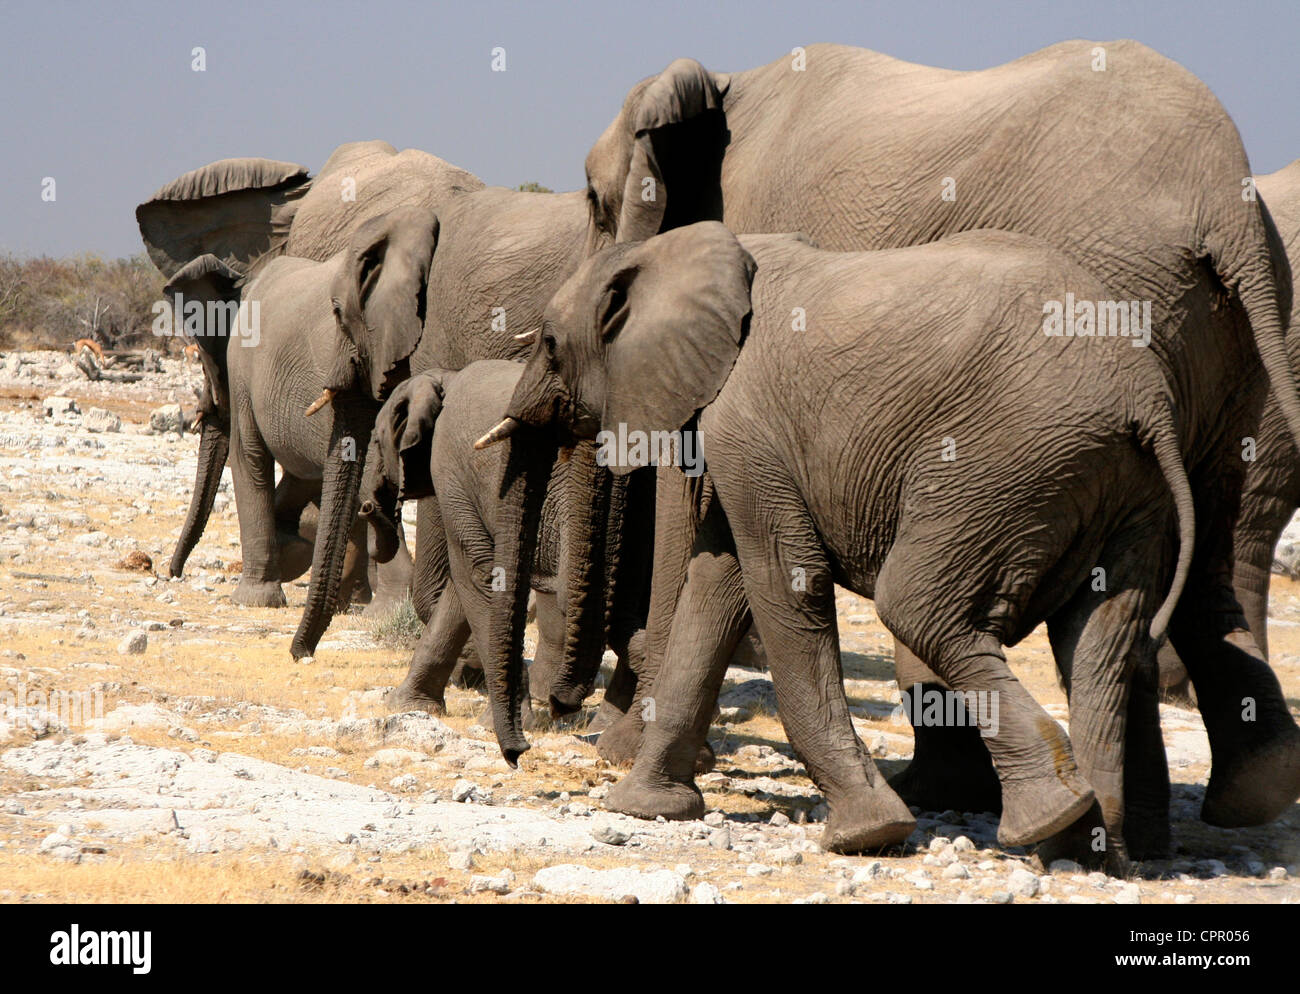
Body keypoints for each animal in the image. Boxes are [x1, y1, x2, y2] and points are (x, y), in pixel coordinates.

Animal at [479, 222, 1196, 862]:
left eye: (549, 342)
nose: (521, 752)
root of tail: (1145, 400)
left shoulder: (745, 421)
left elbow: (783, 581)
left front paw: (866, 835)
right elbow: (718, 584)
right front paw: (644, 807)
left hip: (1003, 466)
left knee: (918, 608)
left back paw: (1047, 820)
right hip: (1120, 488)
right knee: (1101, 642)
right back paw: (1090, 845)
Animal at [518, 40, 1300, 830]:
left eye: (595, 202)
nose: (556, 713)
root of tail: (1227, 206)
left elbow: (727, 545)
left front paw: (623, 754)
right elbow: (723, 565)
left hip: (1107, 329)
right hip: (1217, 358)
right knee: (1199, 557)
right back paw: (1214, 803)